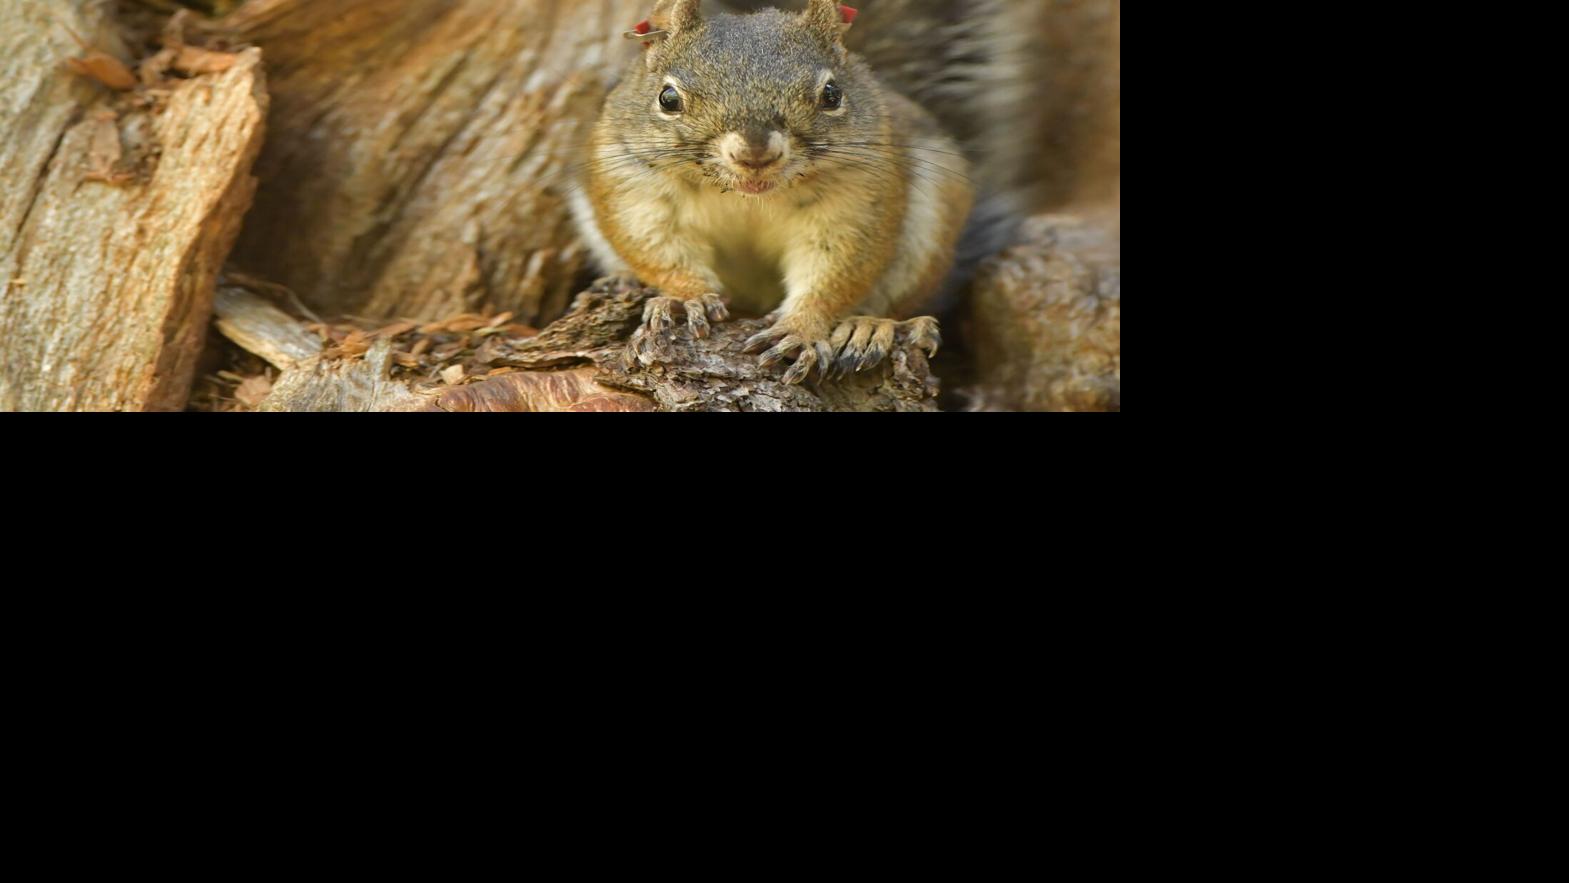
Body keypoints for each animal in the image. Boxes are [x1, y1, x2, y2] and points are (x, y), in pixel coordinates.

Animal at [570, 0, 1026, 385]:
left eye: (832, 94)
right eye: (668, 98)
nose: (754, 152)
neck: (749, 196)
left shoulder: (857, 197)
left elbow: (835, 268)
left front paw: (801, 328)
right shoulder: (635, 186)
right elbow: (656, 245)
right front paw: (687, 297)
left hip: (927, 236)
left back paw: (868, 328)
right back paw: (622, 281)